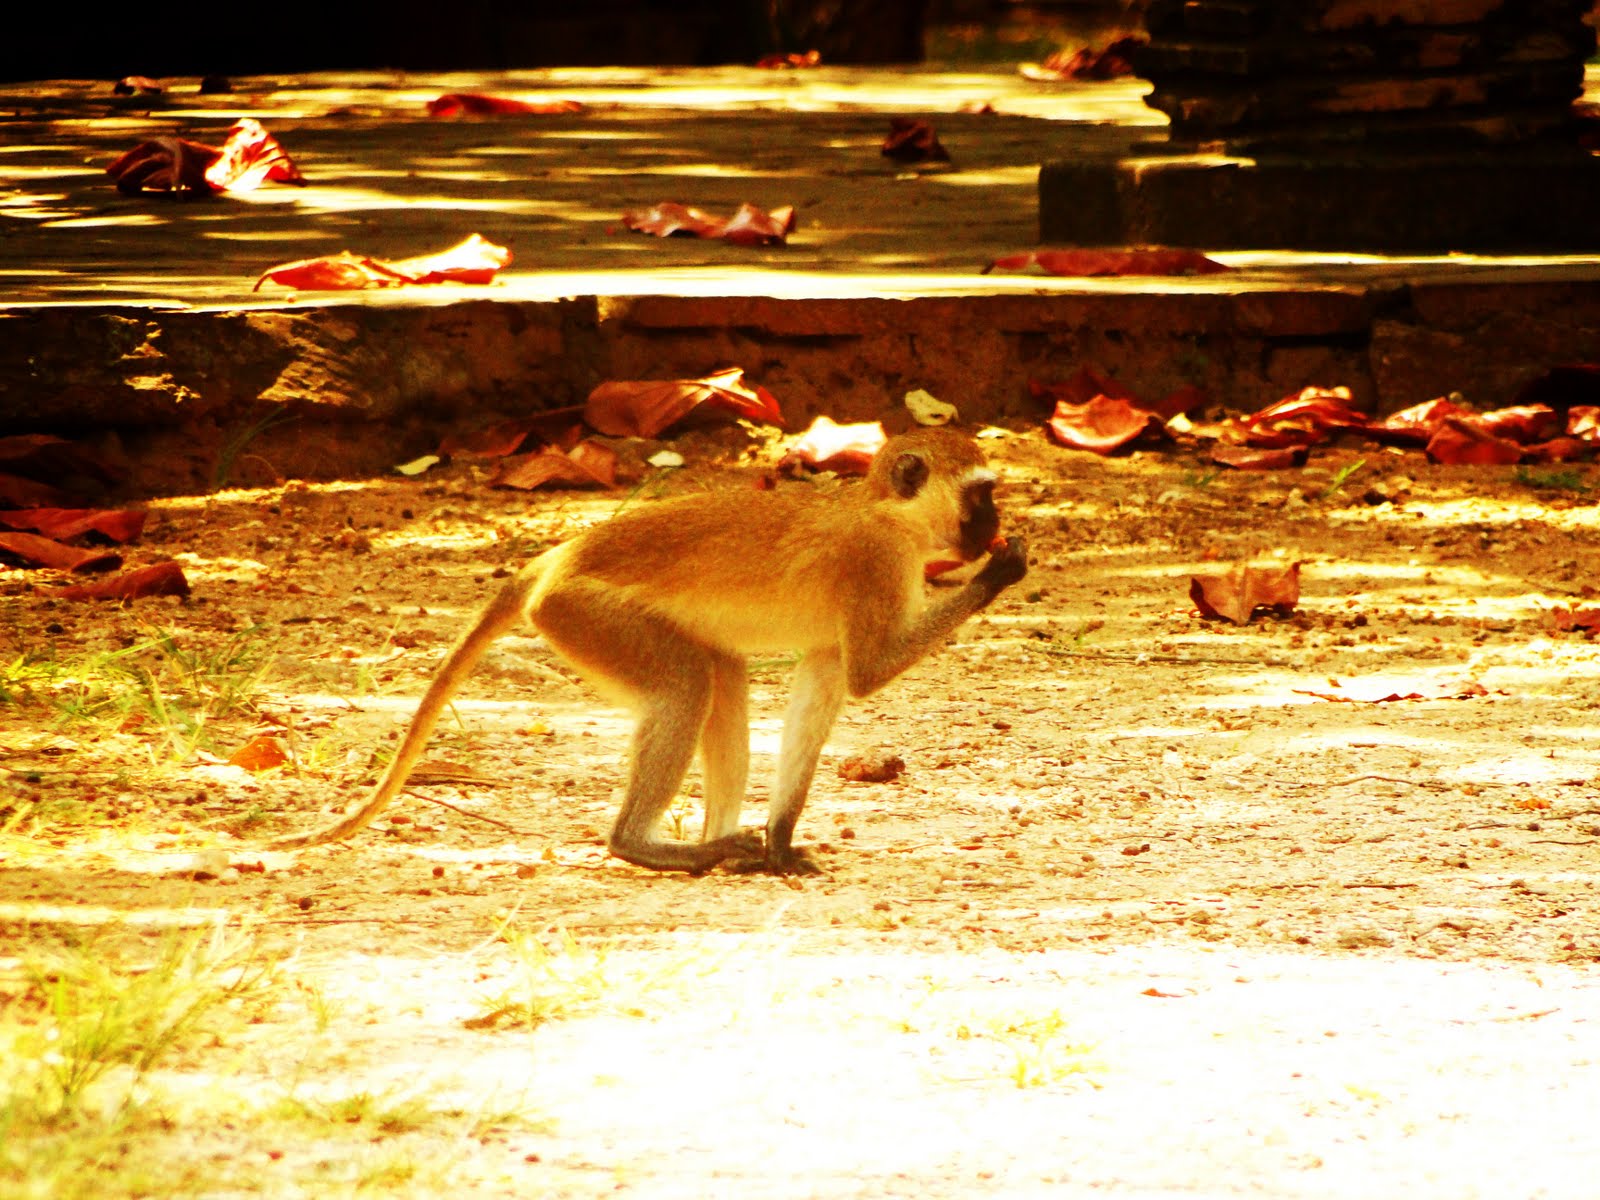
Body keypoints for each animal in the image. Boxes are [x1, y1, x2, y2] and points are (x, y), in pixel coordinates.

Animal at [269, 426, 1028, 874]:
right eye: (980, 496)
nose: (994, 523)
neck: (887, 517)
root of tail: (558, 559)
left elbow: (823, 684)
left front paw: (780, 840)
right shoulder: (873, 566)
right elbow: (868, 672)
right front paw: (998, 572)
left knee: (721, 672)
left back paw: (724, 846)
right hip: (586, 616)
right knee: (688, 684)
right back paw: (640, 846)